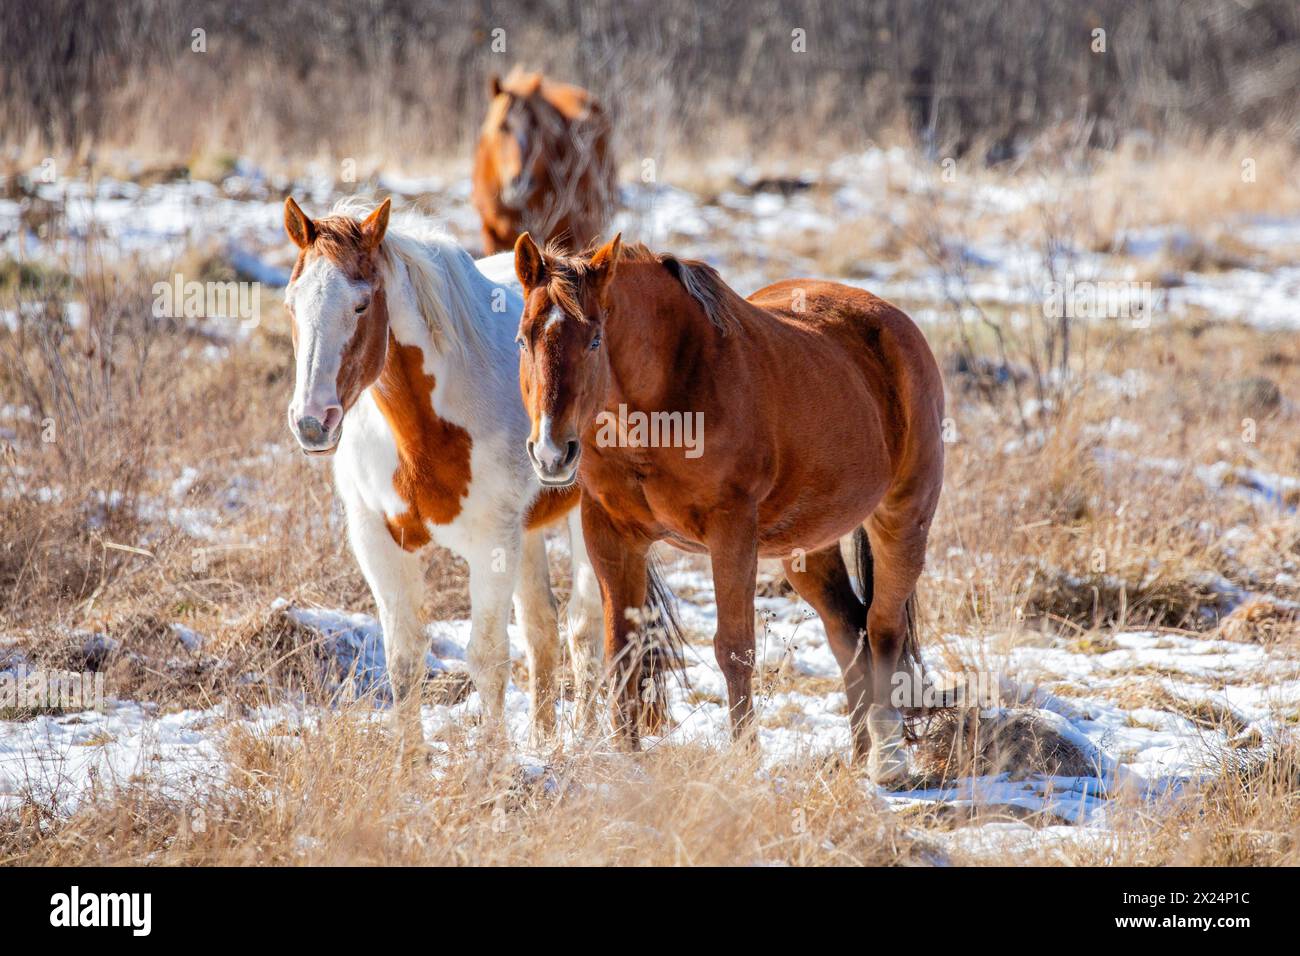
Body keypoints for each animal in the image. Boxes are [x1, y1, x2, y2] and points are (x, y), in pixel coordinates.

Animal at [279, 194, 616, 744]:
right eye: (292, 305)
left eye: (361, 305)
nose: (312, 421)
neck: (424, 428)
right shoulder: (377, 538)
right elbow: (404, 659)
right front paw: (408, 761)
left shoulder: (492, 544)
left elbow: (488, 660)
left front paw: (492, 763)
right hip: (529, 530)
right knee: (542, 627)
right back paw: (543, 741)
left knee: (584, 627)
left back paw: (584, 740)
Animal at [510, 232, 945, 783]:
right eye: (523, 340)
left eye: (593, 341)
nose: (551, 452)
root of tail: (893, 321)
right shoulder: (609, 532)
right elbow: (622, 649)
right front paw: (627, 761)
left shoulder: (731, 530)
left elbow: (734, 649)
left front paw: (744, 759)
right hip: (807, 547)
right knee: (849, 631)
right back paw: (859, 755)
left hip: (903, 518)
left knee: (884, 626)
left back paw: (886, 761)